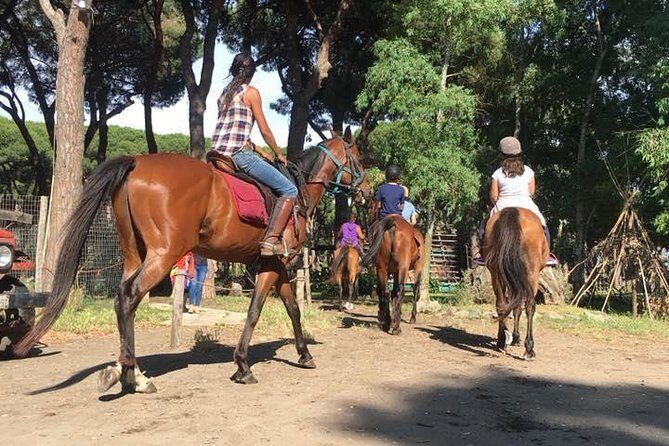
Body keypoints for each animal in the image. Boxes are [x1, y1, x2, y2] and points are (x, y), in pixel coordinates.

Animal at [14, 128, 370, 393]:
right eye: (358, 159)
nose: (366, 190)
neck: (296, 189)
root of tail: (137, 162)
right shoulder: (272, 264)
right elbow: (255, 311)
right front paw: (243, 365)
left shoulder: (278, 265)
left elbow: (293, 308)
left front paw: (304, 354)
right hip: (163, 255)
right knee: (128, 297)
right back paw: (132, 376)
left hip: (134, 254)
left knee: (123, 301)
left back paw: (128, 370)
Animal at [482, 207, 548, 359]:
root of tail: (514, 211)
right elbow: (518, 307)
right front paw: (516, 337)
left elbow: (513, 306)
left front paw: (512, 337)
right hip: (531, 272)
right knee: (529, 305)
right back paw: (528, 348)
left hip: (497, 271)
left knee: (502, 305)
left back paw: (503, 341)